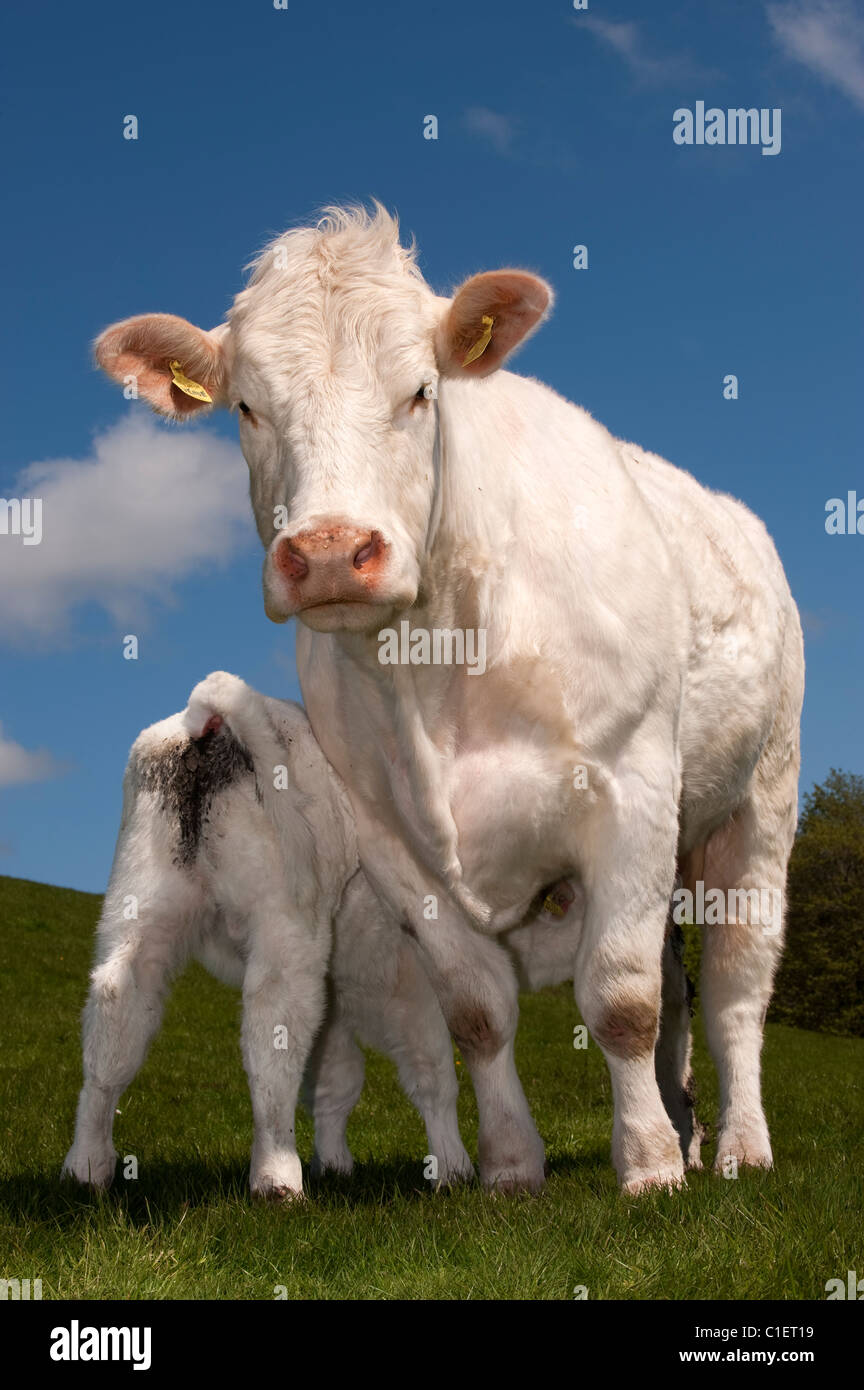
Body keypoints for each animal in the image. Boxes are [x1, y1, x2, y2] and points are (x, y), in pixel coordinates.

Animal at [62, 671, 473, 1198]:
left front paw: (335, 1163)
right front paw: (454, 1169)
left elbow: (334, 1077)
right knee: (272, 1022)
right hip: (286, 919)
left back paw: (86, 1165)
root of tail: (208, 718)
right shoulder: (409, 976)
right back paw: (277, 1175)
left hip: (139, 901)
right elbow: (432, 1067)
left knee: (117, 1006)